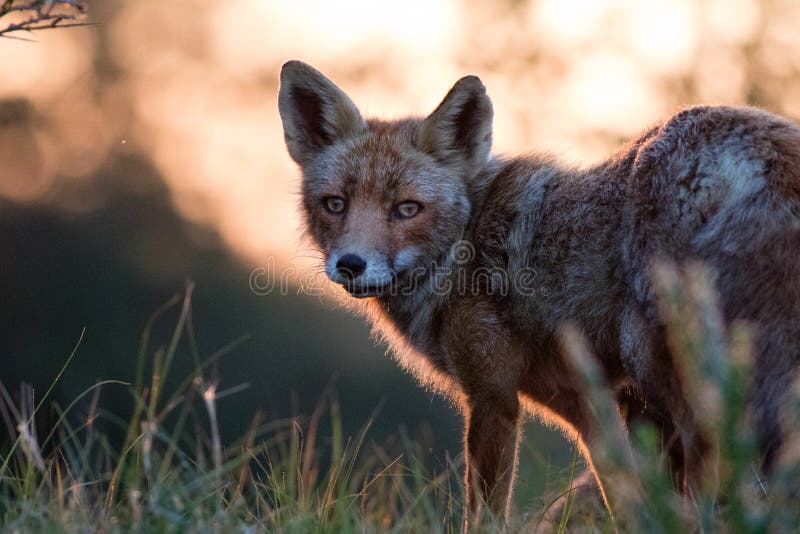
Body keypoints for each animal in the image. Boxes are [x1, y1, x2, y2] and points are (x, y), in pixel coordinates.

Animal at [278, 60, 800, 526]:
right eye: (335, 204)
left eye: (407, 209)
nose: (351, 264)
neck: (465, 244)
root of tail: (768, 138)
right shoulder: (586, 404)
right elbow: (626, 502)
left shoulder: (493, 396)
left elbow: (484, 516)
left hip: (661, 364)